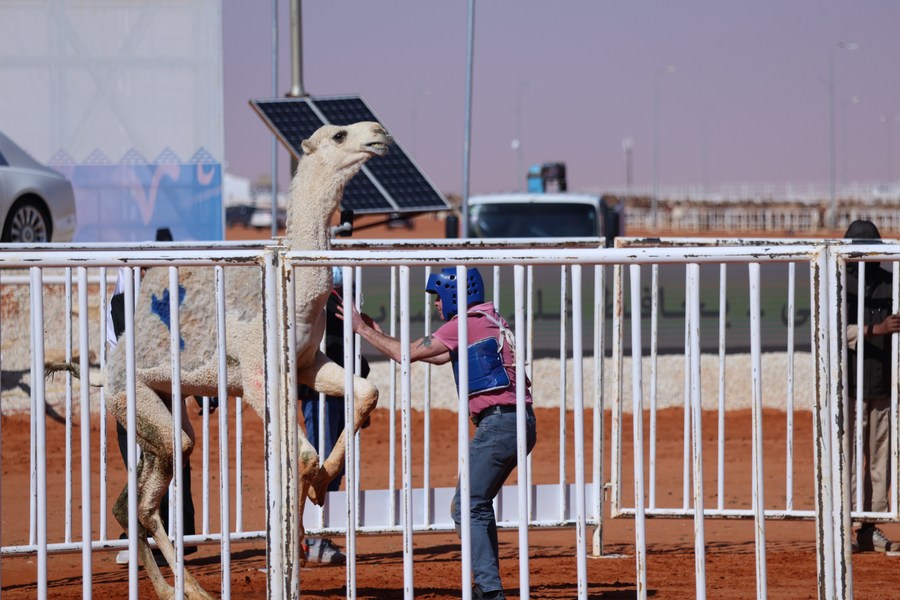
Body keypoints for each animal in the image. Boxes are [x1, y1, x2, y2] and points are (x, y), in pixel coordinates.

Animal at [104, 121, 388, 599]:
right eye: (339, 135)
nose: (379, 133)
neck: (295, 295)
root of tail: (102, 375)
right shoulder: (257, 374)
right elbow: (302, 455)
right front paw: (306, 515)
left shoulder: (308, 363)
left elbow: (365, 391)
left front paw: (320, 491)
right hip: (135, 403)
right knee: (145, 503)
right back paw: (189, 590)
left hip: (164, 408)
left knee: (137, 498)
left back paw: (174, 587)